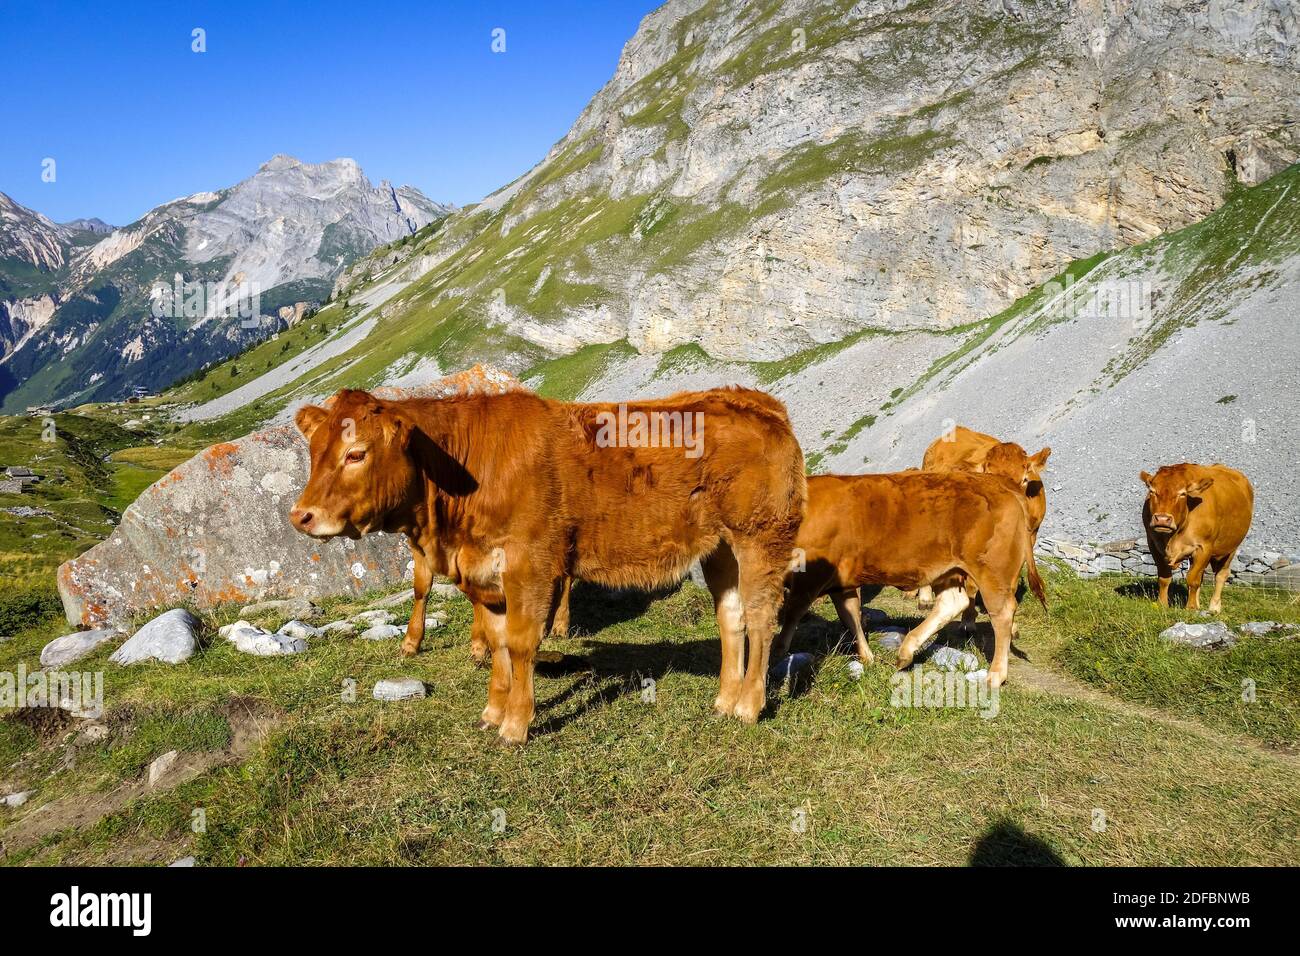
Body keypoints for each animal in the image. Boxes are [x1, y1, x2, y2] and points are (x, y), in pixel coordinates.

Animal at [289, 386, 806, 745]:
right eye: (314, 453)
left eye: (356, 453)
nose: (301, 516)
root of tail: (759, 402)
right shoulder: (485, 572)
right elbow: (497, 643)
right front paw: (492, 712)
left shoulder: (529, 565)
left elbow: (521, 644)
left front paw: (516, 725)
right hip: (720, 548)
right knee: (731, 617)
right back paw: (723, 700)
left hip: (762, 537)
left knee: (761, 617)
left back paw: (749, 706)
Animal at [773, 471, 1046, 689]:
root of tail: (999, 482)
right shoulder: (841, 583)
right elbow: (850, 616)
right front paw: (867, 656)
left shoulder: (810, 578)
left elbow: (794, 613)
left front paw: (778, 650)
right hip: (948, 570)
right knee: (952, 603)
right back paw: (906, 651)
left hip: (992, 571)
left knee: (1002, 613)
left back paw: (996, 674)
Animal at [1139, 463, 1254, 613]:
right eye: (1152, 491)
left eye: (1183, 493)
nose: (1162, 519)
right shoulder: (1153, 545)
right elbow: (1164, 578)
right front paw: (1162, 604)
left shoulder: (1204, 548)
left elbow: (1192, 579)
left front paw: (1191, 607)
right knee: (1201, 575)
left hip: (1230, 548)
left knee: (1221, 575)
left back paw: (1214, 607)